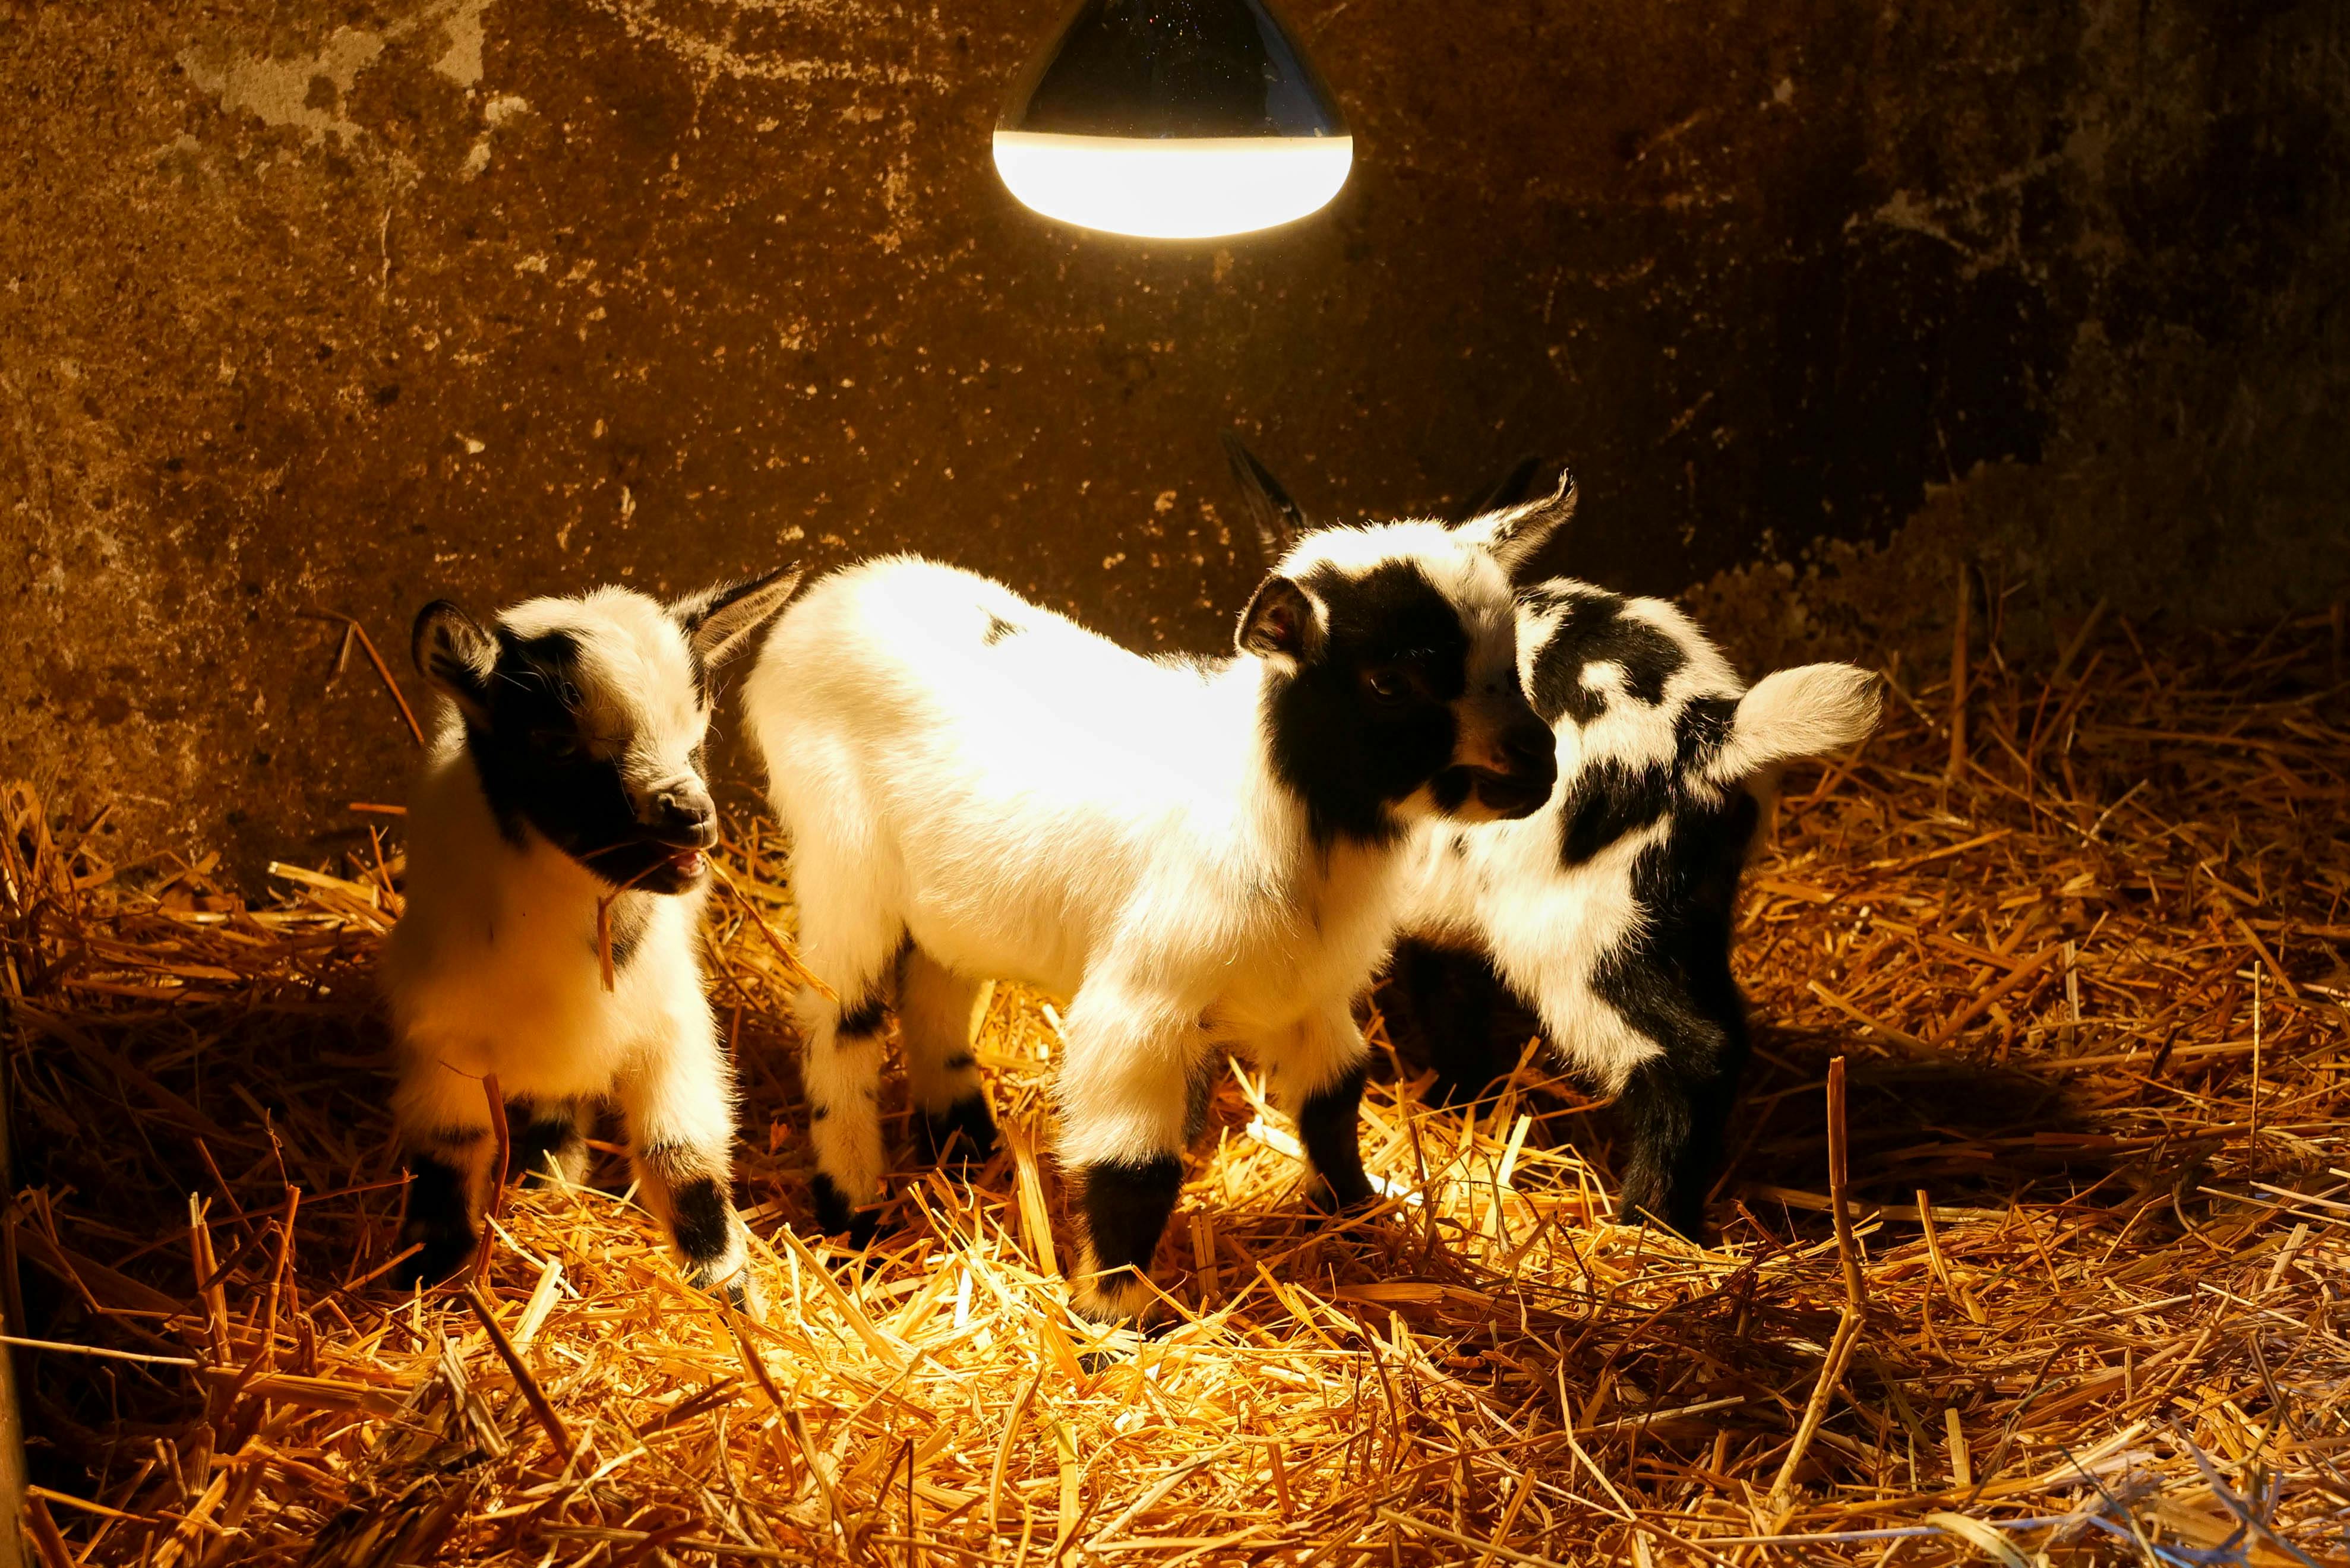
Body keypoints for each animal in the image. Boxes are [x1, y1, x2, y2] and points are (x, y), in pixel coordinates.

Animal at [380, 567, 802, 1300]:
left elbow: (680, 1153)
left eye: (698, 736)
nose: (691, 816)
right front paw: (430, 1270)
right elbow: (449, 1144)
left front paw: (725, 1286)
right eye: (557, 743)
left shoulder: (667, 1016)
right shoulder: (442, 1034)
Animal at [741, 508, 1567, 1321]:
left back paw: (963, 1142)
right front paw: (1111, 1318)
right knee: (838, 1021)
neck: (1276, 798)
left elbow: (1334, 1102)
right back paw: (855, 1215)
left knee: (933, 986)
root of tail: (824, 598)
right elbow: (1133, 1170)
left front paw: (1358, 1221)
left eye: (1511, 657)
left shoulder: (1312, 993)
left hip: (945, 896)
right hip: (842, 861)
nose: (1537, 760)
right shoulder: (1141, 1006)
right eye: (1389, 682)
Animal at [1228, 443, 1879, 1237]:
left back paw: (1642, 1224)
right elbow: (1451, 1000)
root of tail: (1711, 732)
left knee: (1688, 1055)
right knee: (1723, 1025)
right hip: (1682, 908)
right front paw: (1460, 1096)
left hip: (1576, 923)